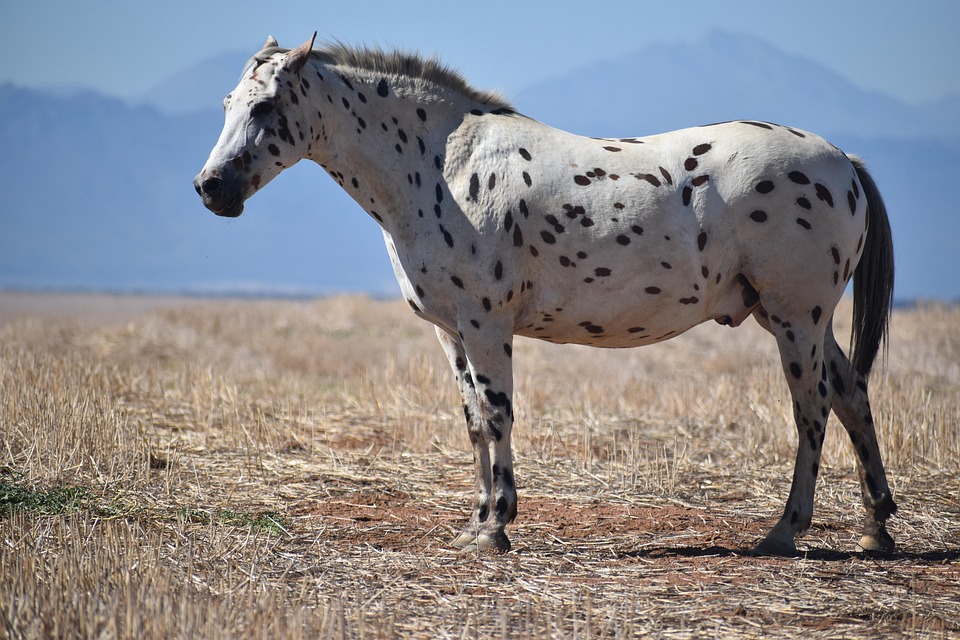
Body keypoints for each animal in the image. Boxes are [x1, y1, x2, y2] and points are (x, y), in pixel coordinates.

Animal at [195, 34, 896, 556]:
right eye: (227, 102)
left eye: (264, 108)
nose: (211, 188)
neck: (443, 165)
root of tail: (844, 162)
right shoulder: (451, 331)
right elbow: (473, 422)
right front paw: (475, 523)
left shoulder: (485, 324)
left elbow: (498, 414)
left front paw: (497, 527)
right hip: (795, 319)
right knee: (851, 395)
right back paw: (876, 527)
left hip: (795, 318)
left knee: (813, 410)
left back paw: (785, 531)